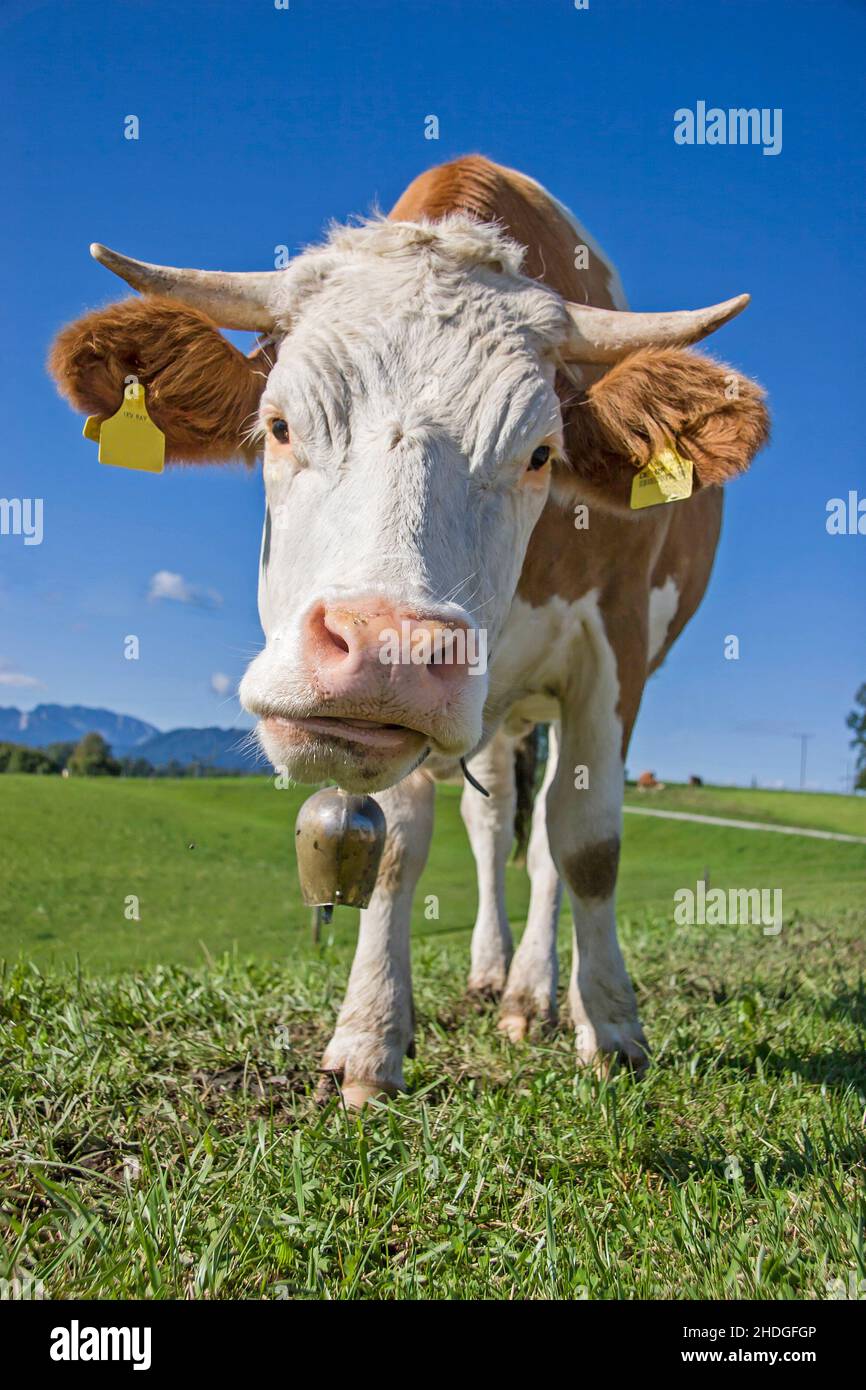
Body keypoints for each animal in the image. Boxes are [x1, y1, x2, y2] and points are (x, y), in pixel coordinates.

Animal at [49, 156, 769, 1106]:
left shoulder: (614, 656)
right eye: (279, 425)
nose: (384, 652)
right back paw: (494, 976)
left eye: (541, 454)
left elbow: (587, 844)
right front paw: (370, 1038)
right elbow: (397, 847)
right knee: (491, 817)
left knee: (543, 838)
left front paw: (612, 1029)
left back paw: (534, 995)